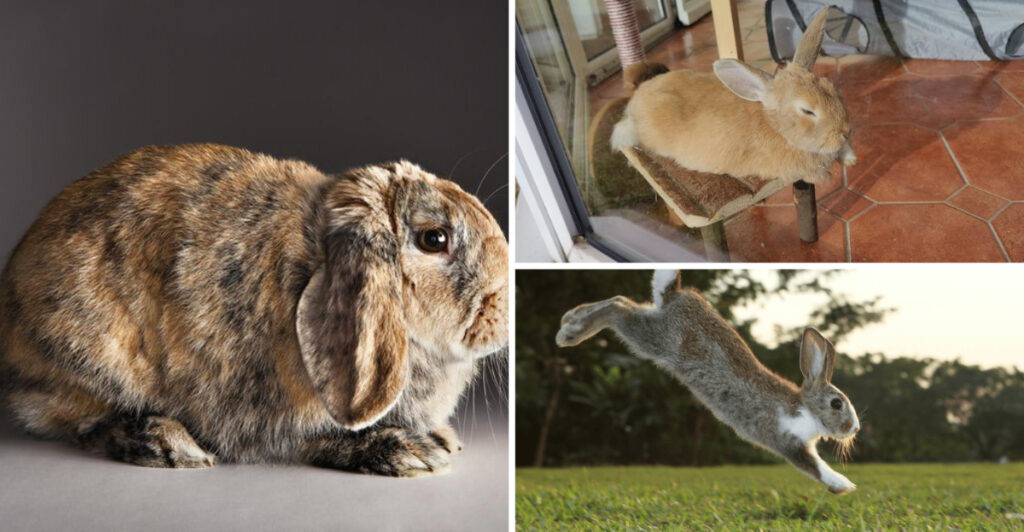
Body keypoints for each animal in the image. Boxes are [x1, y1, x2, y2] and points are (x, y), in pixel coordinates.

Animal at [0, 143, 508, 476]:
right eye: (434, 238)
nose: (503, 313)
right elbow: (310, 441)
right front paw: (409, 452)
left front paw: (441, 440)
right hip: (93, 358)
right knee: (84, 421)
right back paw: (168, 444)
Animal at [555, 270, 860, 494]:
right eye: (836, 403)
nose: (854, 428)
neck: (805, 408)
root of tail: (676, 294)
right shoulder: (787, 440)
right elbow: (815, 467)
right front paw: (845, 485)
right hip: (653, 338)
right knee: (618, 308)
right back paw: (569, 333)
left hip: (651, 322)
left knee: (621, 301)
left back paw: (569, 319)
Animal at [611, 8, 856, 185]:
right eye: (807, 111)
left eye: (832, 88)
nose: (845, 131)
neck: (777, 127)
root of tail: (634, 102)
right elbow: (811, 175)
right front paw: (828, 177)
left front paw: (850, 158)